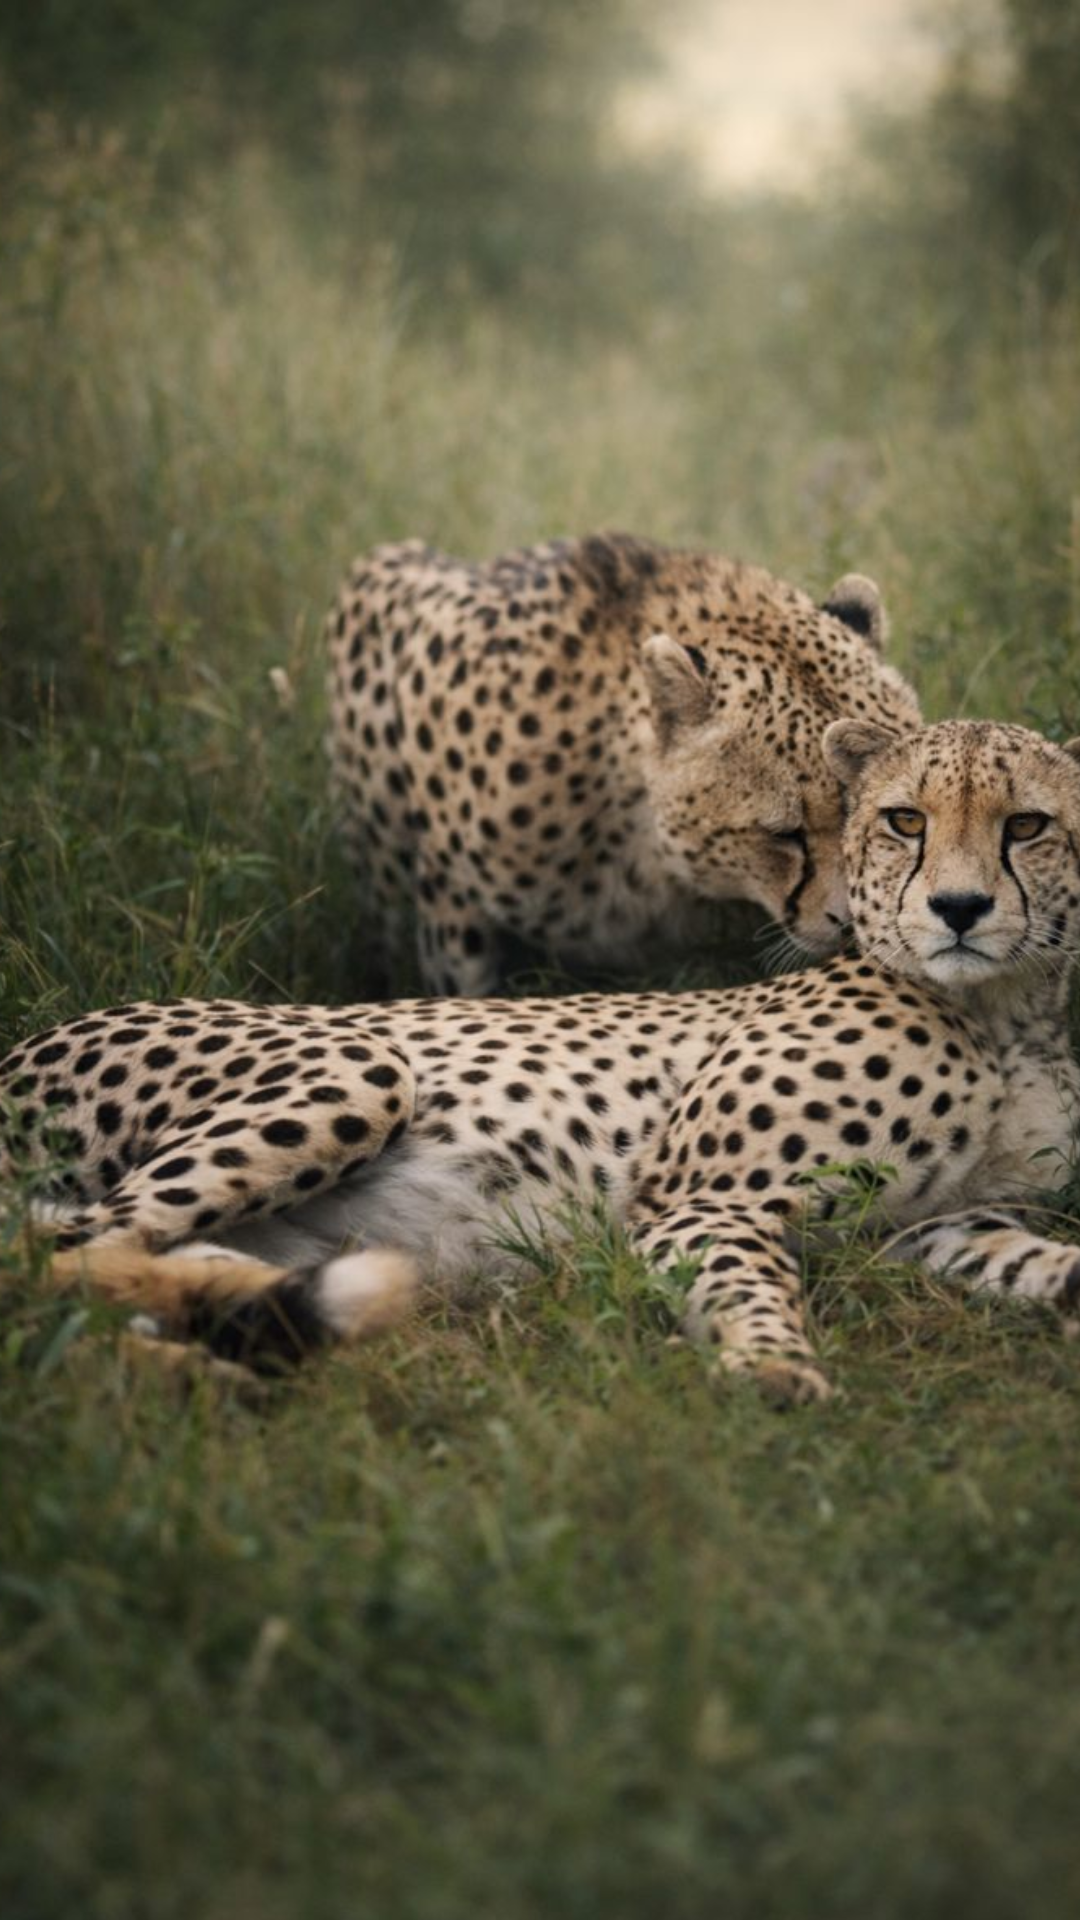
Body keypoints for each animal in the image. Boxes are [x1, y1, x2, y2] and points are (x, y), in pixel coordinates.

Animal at [5, 718, 1080, 1404]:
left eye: (1027, 825)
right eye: (906, 819)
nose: (959, 909)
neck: (1008, 1015)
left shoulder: (949, 1222)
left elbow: (1043, 1259)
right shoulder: (700, 1200)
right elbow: (751, 1283)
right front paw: (774, 1368)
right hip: (359, 1065)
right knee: (50, 1263)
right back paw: (206, 1381)